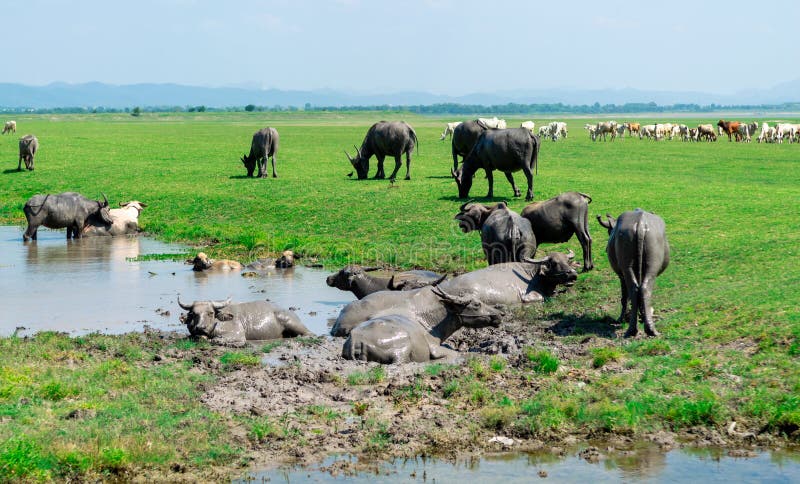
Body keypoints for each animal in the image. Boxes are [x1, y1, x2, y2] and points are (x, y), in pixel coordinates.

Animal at [598, 209, 670, 337]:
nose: (606, 249)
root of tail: (640, 224)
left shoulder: (621, 276)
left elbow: (624, 297)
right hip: (650, 264)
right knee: (643, 288)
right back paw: (647, 328)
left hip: (628, 266)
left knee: (635, 289)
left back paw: (635, 328)